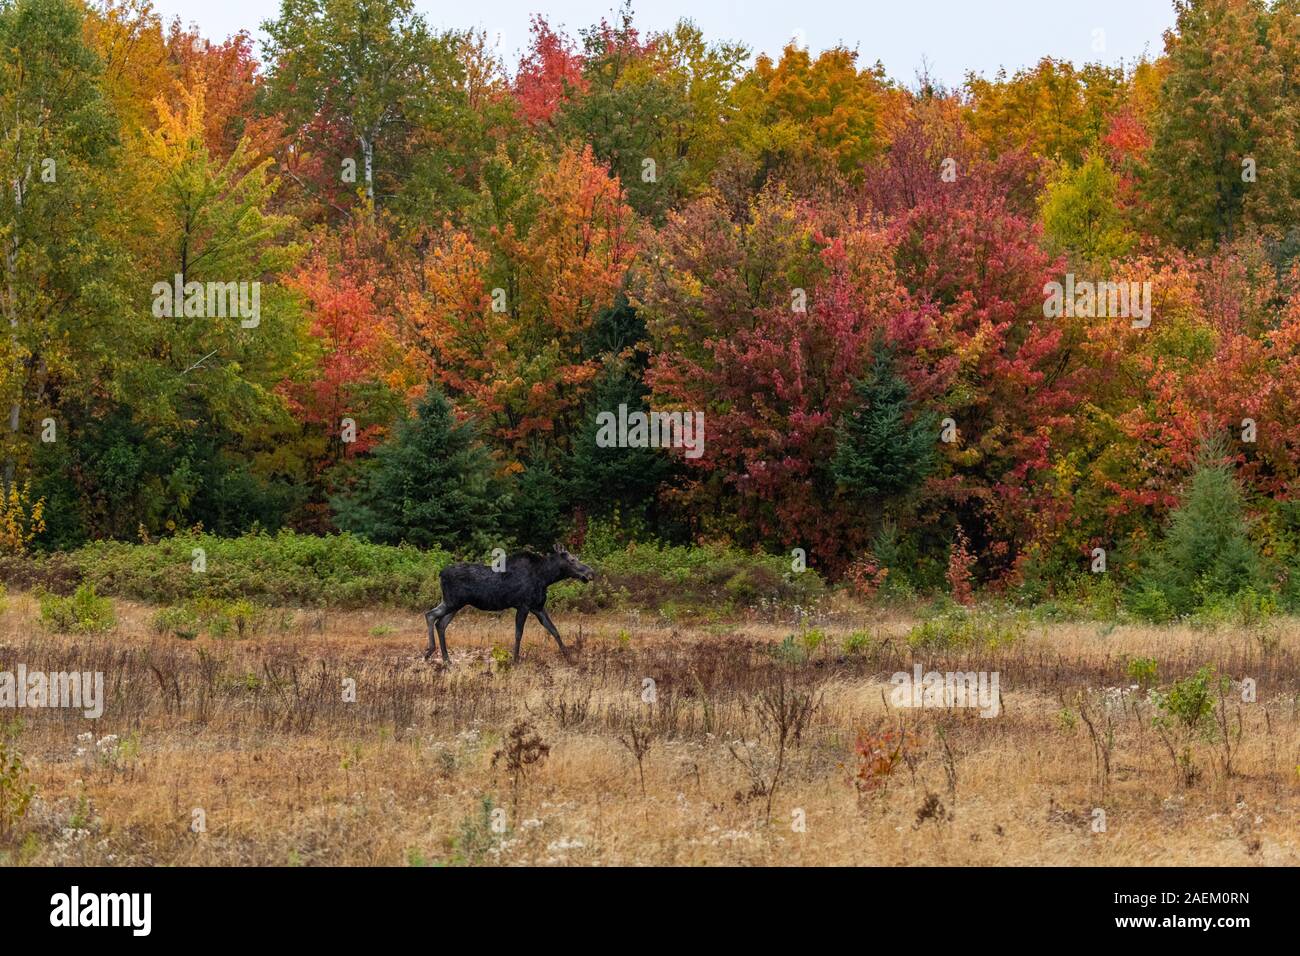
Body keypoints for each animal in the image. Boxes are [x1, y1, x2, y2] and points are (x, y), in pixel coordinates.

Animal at [422, 544, 595, 664]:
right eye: (572, 560)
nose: (590, 573)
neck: (546, 577)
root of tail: (441, 574)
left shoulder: (538, 607)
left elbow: (554, 630)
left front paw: (569, 657)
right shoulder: (523, 605)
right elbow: (518, 634)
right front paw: (515, 659)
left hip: (456, 604)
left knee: (440, 623)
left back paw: (446, 659)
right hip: (452, 601)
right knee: (430, 615)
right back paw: (430, 652)